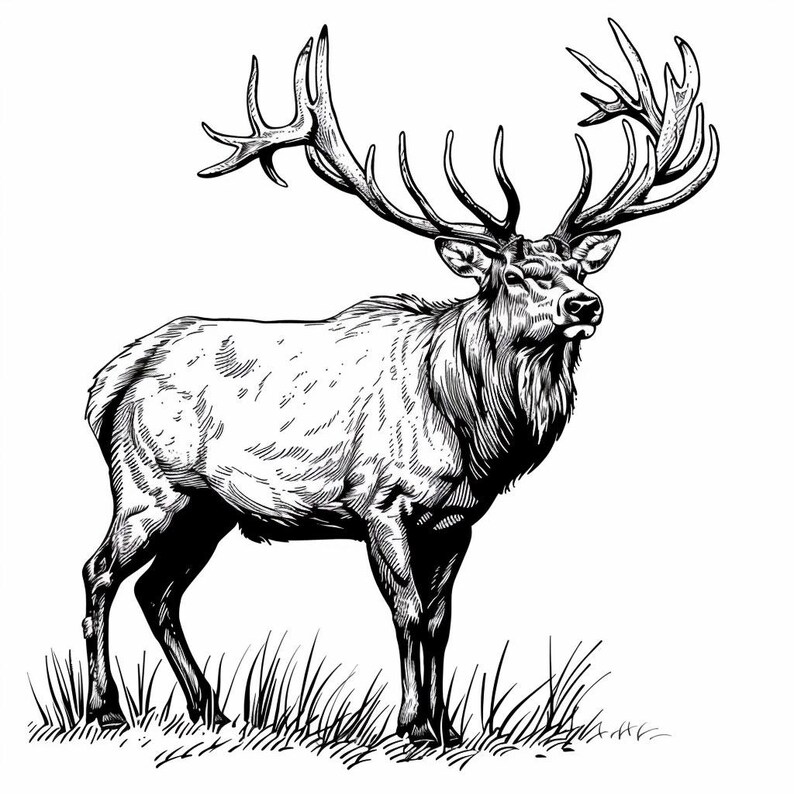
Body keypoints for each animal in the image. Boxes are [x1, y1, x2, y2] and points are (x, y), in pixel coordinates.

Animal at [81, 20, 718, 746]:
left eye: (577, 268)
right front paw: (411, 725)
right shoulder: (379, 501)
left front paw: (447, 728)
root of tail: (112, 378)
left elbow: (441, 620)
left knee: (157, 591)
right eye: (512, 274)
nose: (586, 304)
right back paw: (106, 707)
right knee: (100, 572)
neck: (471, 428)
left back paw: (211, 710)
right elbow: (407, 611)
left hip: (208, 509)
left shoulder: (458, 519)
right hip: (148, 486)